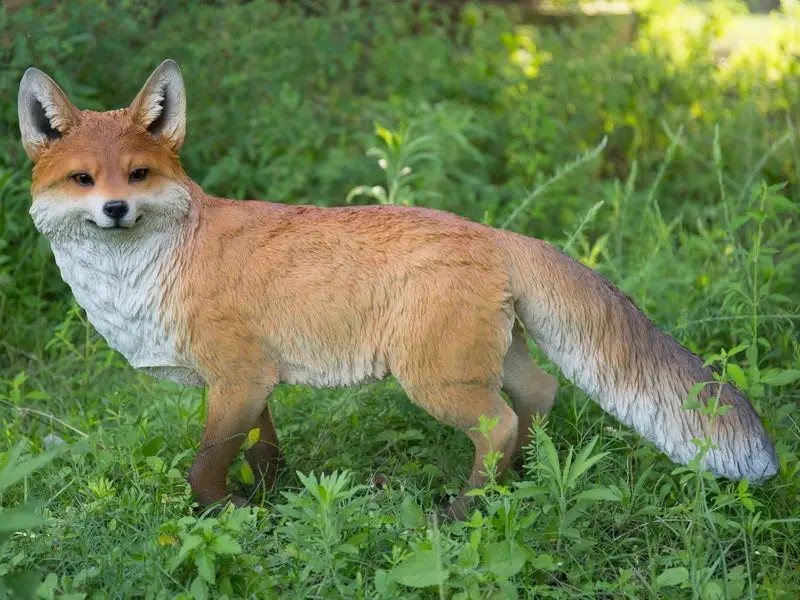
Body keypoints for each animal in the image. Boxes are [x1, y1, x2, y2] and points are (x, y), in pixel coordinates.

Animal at [19, 60, 777, 517]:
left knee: (499, 424)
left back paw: (463, 511)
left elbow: (203, 469)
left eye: (138, 175)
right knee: (539, 395)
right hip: (488, 359)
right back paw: (525, 481)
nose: (116, 210)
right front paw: (272, 501)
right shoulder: (253, 382)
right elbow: (263, 450)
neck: (152, 275)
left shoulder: (235, 378)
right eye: (83, 180)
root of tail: (492, 231)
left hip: (435, 379)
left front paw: (227, 514)